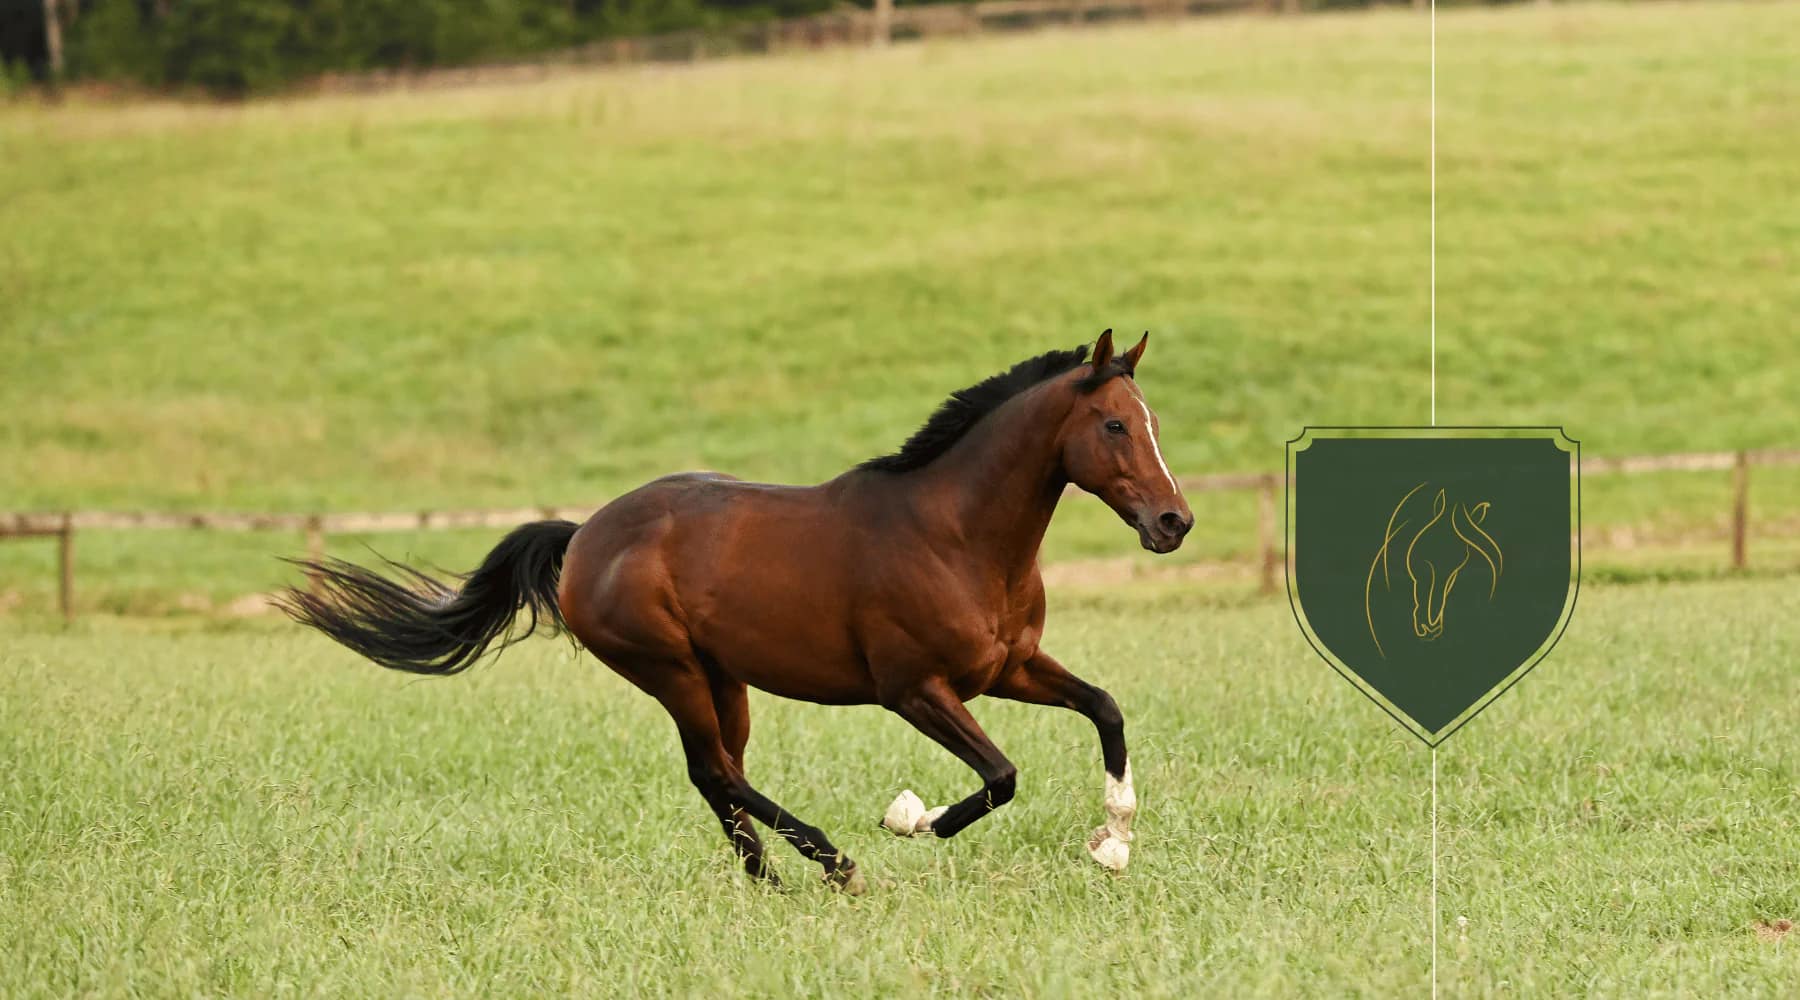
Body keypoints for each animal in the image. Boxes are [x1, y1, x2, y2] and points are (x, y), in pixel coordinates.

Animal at [277, 330, 1192, 893]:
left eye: (1153, 420)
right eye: (1115, 425)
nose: (1173, 521)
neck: (956, 535)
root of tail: (587, 534)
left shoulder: (1009, 667)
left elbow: (1105, 709)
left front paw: (1113, 842)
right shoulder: (914, 689)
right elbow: (1000, 776)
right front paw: (909, 818)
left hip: (723, 678)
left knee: (721, 773)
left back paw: (775, 880)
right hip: (670, 668)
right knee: (716, 771)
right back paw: (833, 864)